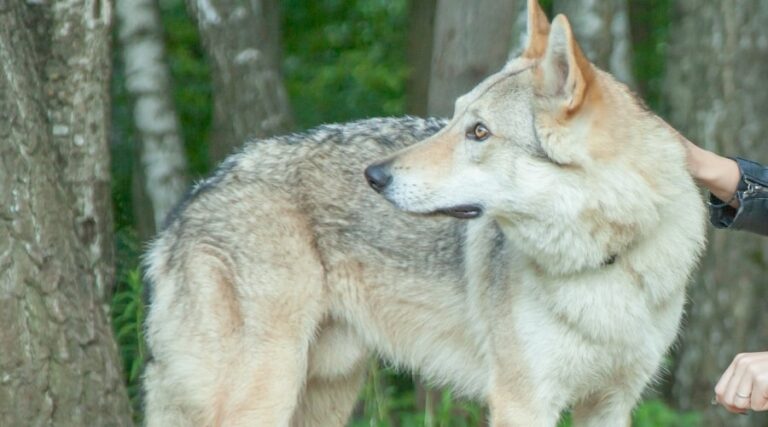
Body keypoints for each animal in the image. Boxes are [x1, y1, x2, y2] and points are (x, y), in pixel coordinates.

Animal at [142, 1, 706, 425]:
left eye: (479, 131)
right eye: (454, 119)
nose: (374, 176)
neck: (605, 261)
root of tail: (189, 202)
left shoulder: (610, 404)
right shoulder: (522, 401)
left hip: (327, 390)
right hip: (265, 391)